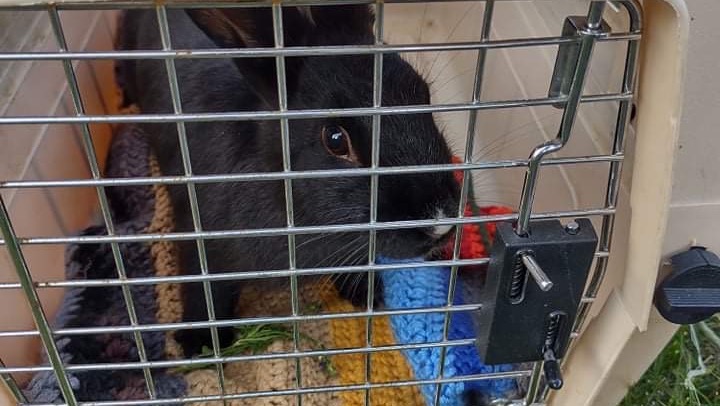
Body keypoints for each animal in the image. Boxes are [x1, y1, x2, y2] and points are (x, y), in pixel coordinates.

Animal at [115, 4, 461, 358]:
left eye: (423, 92)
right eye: (335, 139)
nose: (440, 222)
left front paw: (366, 294)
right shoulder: (198, 235)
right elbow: (205, 292)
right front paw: (201, 346)